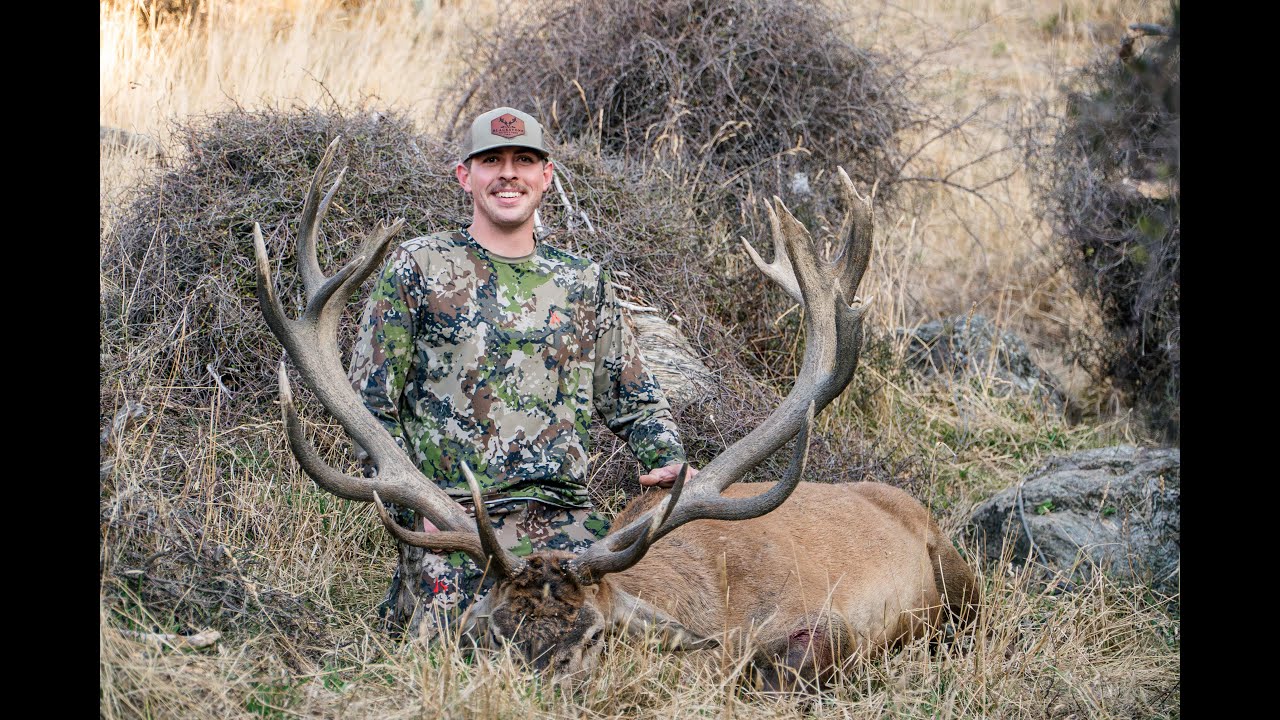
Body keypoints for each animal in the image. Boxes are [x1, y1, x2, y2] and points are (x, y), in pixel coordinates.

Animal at [252, 138, 978, 692]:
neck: (704, 603)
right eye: (496, 634)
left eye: (596, 636)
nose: (542, 686)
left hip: (959, 574)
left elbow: (789, 665)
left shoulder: (814, 626)